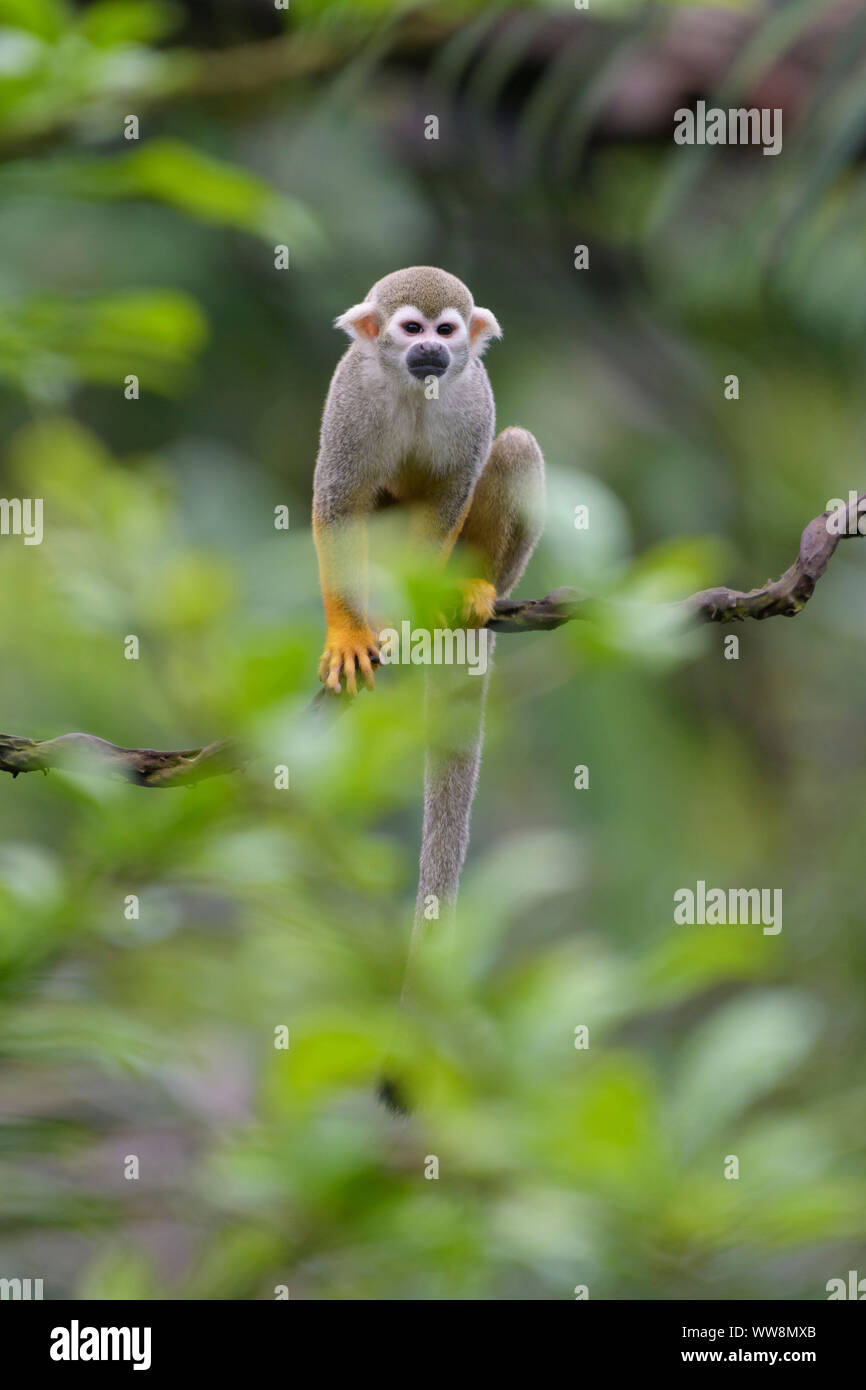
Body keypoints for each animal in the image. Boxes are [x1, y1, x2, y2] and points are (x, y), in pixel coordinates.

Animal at [312, 266, 544, 953]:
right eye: (411, 329)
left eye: (445, 331)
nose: (432, 353)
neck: (419, 391)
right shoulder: (351, 394)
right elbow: (338, 503)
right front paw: (348, 636)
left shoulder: (475, 398)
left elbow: (449, 496)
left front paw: (423, 609)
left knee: (516, 447)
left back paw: (470, 592)